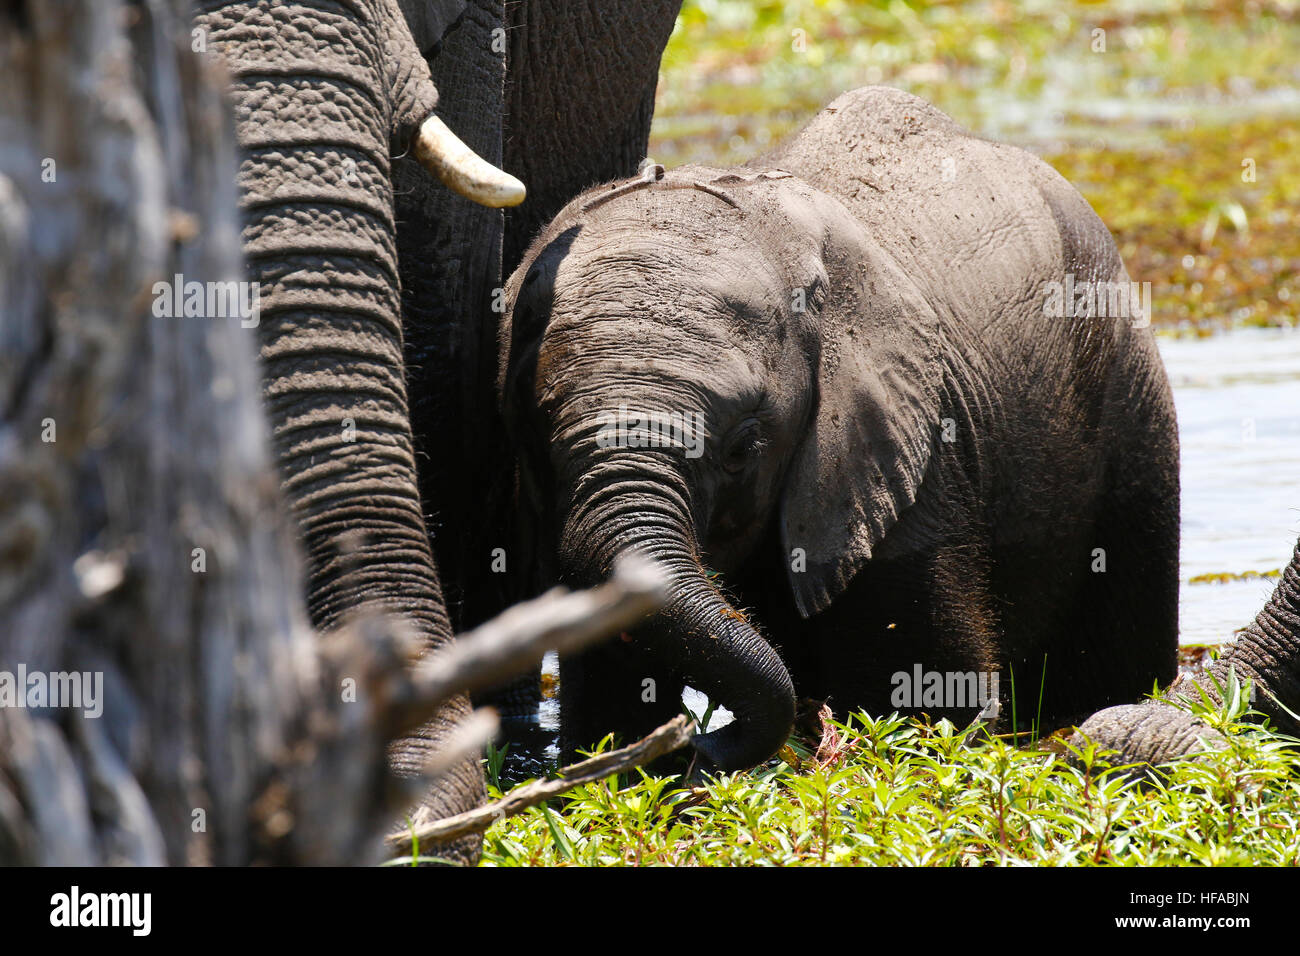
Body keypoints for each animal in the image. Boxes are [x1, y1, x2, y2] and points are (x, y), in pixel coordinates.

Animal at [498, 86, 1182, 772]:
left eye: (743, 447)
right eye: (538, 443)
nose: (697, 739)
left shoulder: (913, 456)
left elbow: (920, 692)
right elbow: (609, 694)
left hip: (1131, 403)